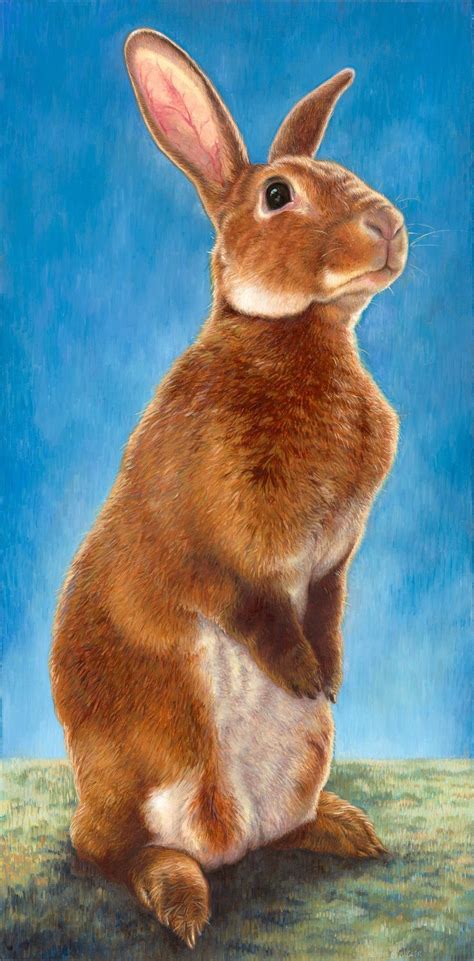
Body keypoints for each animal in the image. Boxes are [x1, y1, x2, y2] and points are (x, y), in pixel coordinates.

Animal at [50, 28, 408, 950]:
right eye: (277, 195)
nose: (388, 228)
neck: (298, 333)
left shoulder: (333, 560)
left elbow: (325, 607)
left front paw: (329, 672)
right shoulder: (206, 546)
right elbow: (248, 605)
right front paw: (301, 669)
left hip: (305, 760)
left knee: (272, 831)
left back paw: (345, 828)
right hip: (149, 776)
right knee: (117, 853)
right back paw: (182, 899)